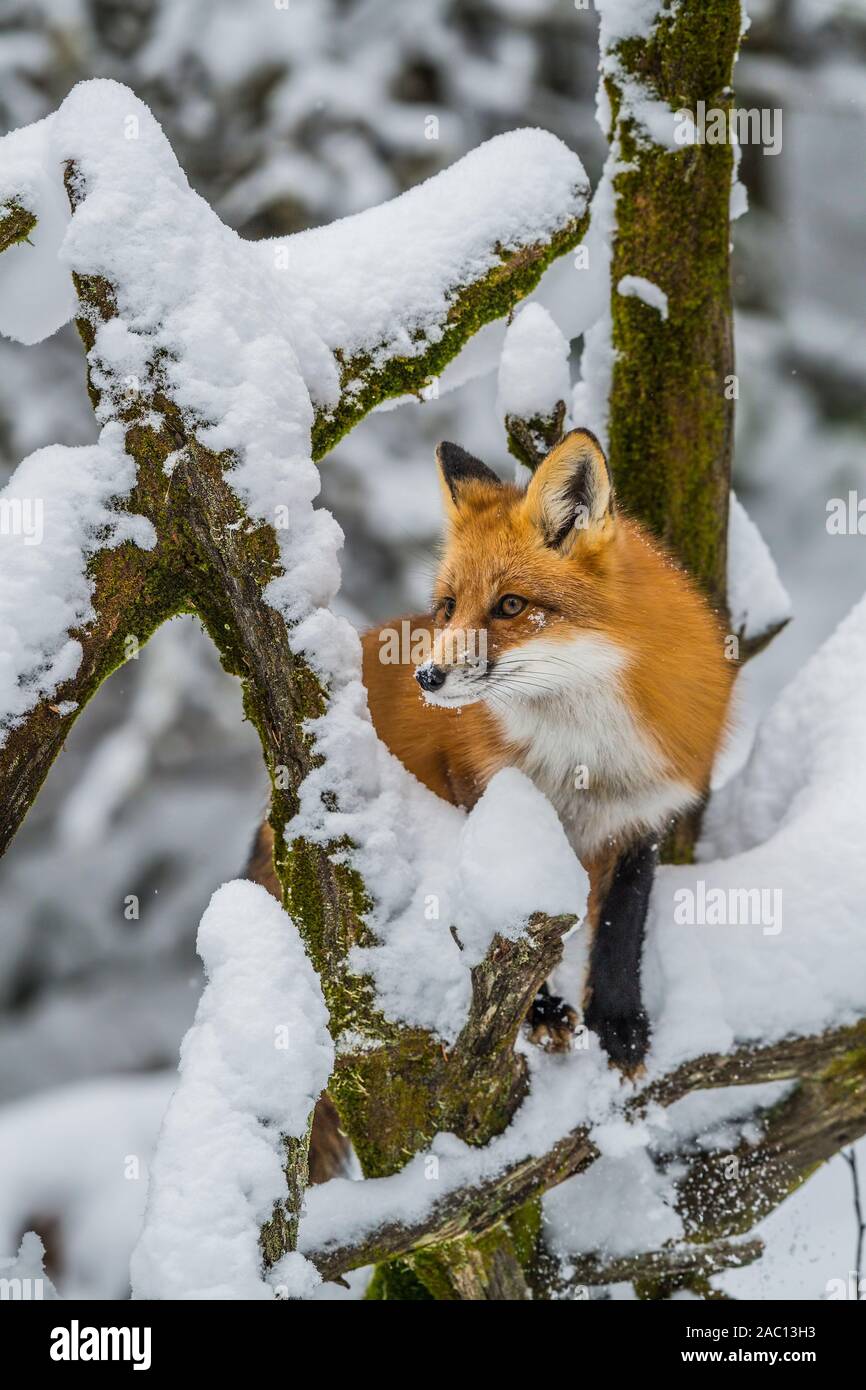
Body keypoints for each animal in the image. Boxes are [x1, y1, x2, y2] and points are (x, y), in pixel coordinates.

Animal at [247, 428, 735, 1179]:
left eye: (510, 606)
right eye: (448, 607)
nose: (427, 675)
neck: (585, 753)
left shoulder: (646, 812)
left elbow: (623, 924)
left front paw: (619, 1027)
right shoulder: (481, 788)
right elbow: (504, 917)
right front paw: (541, 1014)